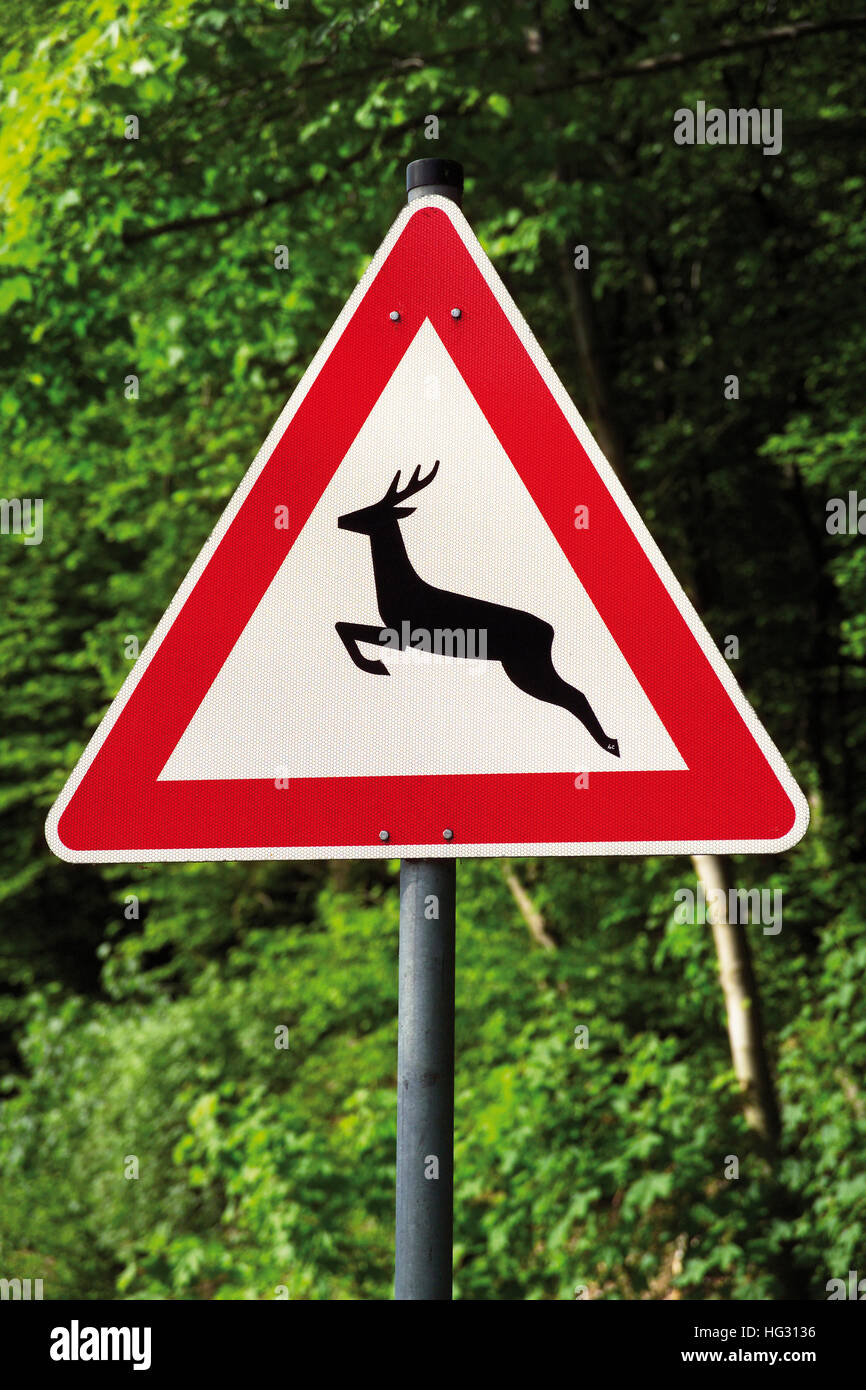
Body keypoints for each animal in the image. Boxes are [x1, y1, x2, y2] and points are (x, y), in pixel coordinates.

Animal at [335, 460, 620, 757]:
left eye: (372, 512)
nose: (340, 519)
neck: (403, 587)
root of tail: (550, 631)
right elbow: (342, 626)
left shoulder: (402, 634)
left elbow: (344, 627)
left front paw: (375, 665)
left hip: (526, 668)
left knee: (576, 695)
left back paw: (611, 745)